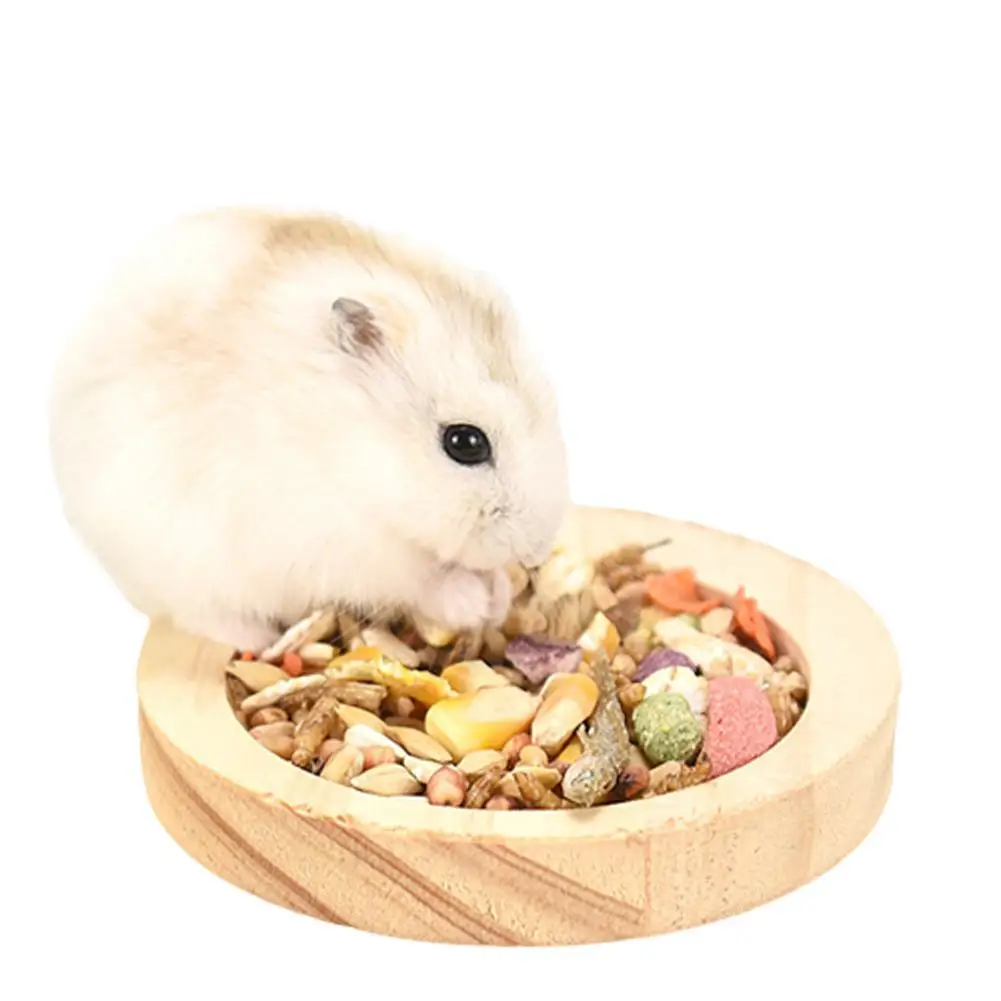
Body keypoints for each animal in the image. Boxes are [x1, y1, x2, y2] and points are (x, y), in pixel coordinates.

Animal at [48, 207, 570, 652]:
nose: (537, 553)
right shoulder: (336, 543)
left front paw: (500, 593)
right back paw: (261, 641)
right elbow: (418, 577)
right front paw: (475, 602)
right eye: (465, 443)